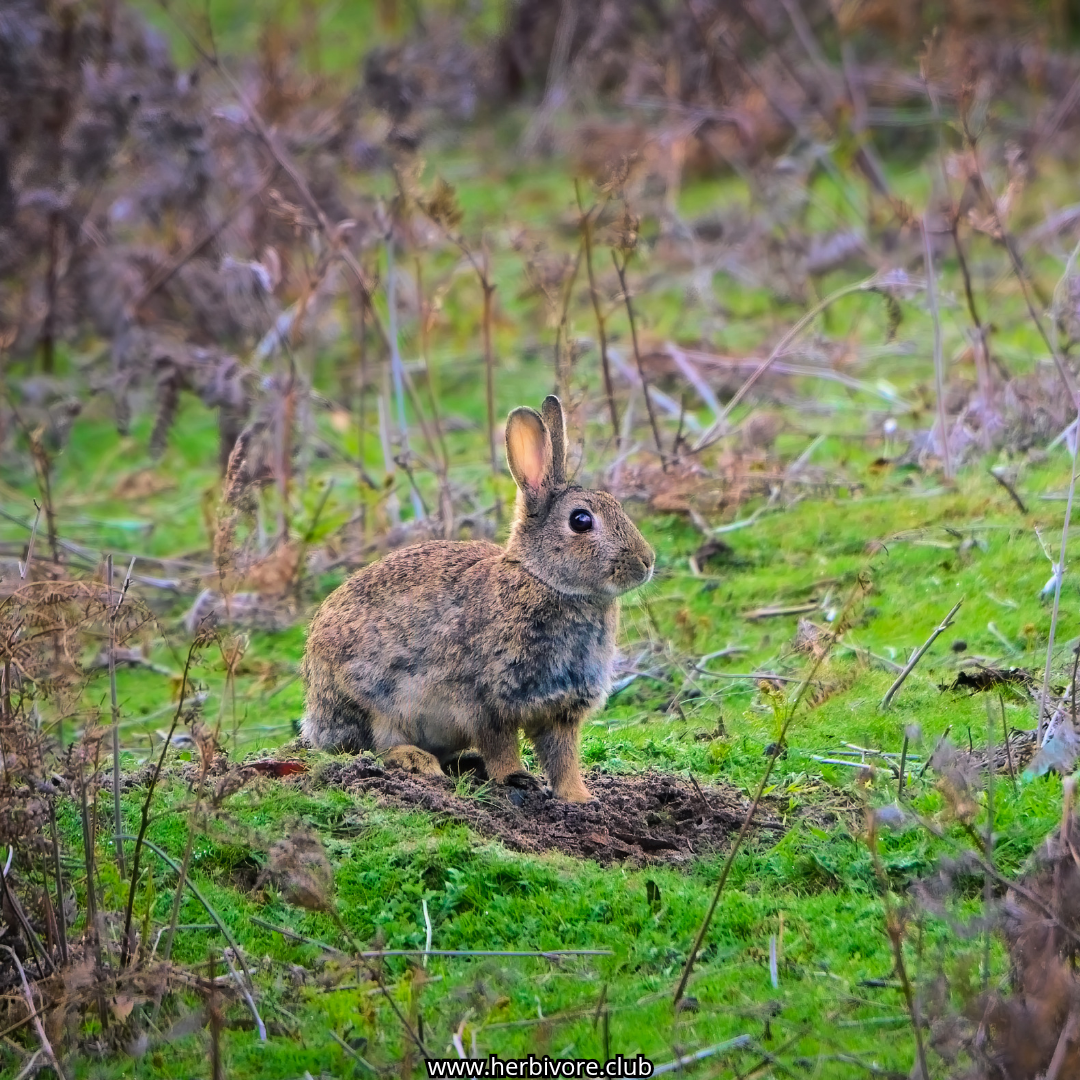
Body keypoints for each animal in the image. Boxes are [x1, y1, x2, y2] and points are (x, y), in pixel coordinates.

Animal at [300, 395, 654, 802]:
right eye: (581, 521)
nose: (647, 562)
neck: (545, 581)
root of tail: (315, 718)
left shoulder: (561, 710)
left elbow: (563, 758)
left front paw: (579, 798)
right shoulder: (483, 700)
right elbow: (500, 745)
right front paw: (514, 778)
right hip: (375, 701)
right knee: (377, 745)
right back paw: (416, 760)